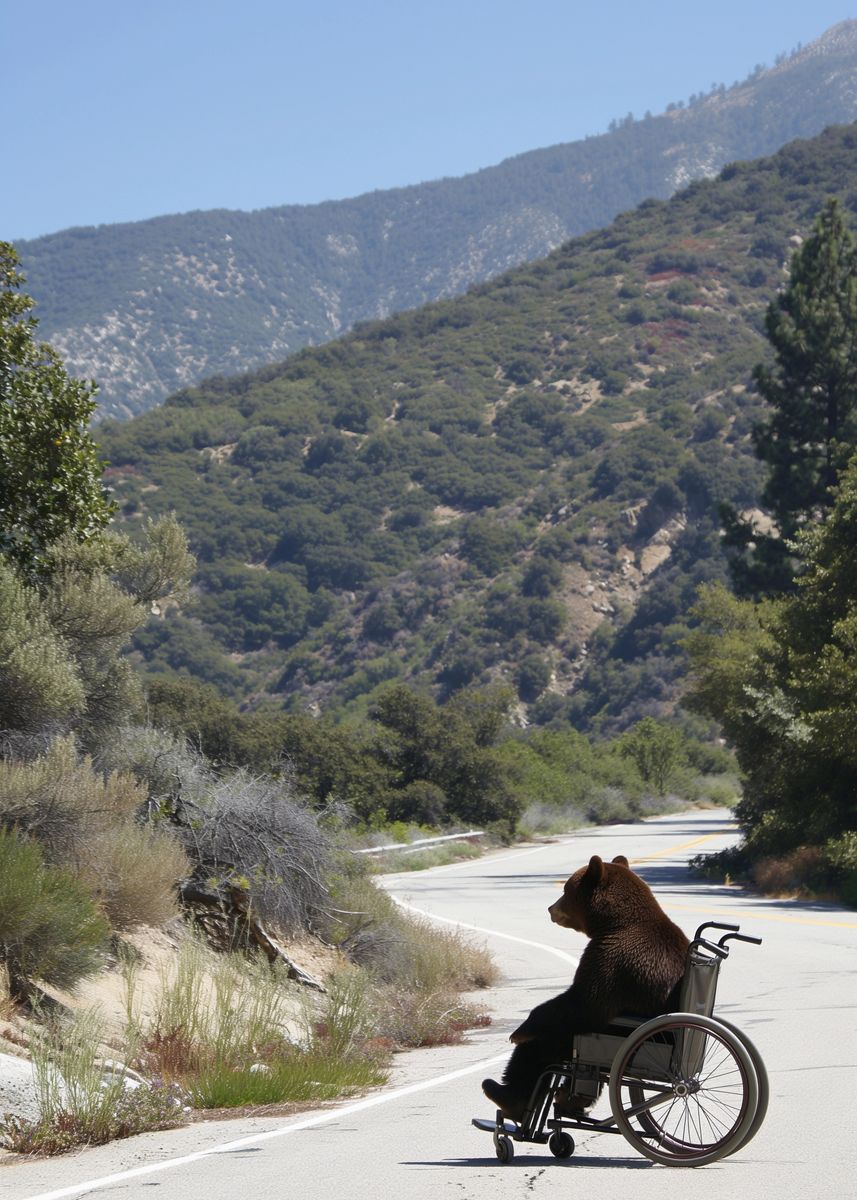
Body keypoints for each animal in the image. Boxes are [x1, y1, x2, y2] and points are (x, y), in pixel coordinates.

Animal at [482, 853, 689, 1122]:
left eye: (565, 890)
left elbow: (584, 1001)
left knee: (542, 1047)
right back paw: (568, 1100)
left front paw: (519, 1031)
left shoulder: (613, 957)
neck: (613, 923)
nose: (550, 908)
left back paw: (504, 1094)